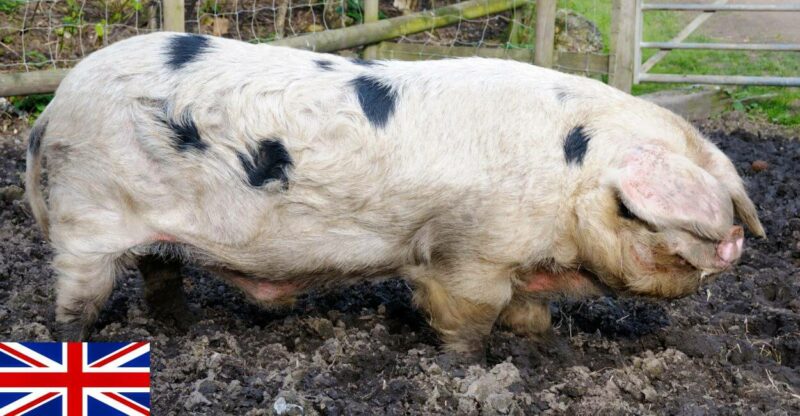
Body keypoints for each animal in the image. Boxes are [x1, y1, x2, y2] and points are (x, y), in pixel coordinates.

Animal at [25, 32, 764, 356]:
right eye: (648, 219)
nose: (735, 241)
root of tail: (51, 110)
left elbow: (529, 313)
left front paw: (537, 345)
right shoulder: (470, 252)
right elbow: (468, 317)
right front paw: (471, 366)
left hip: (151, 230)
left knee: (161, 271)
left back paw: (187, 329)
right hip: (87, 217)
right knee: (76, 298)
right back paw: (75, 344)